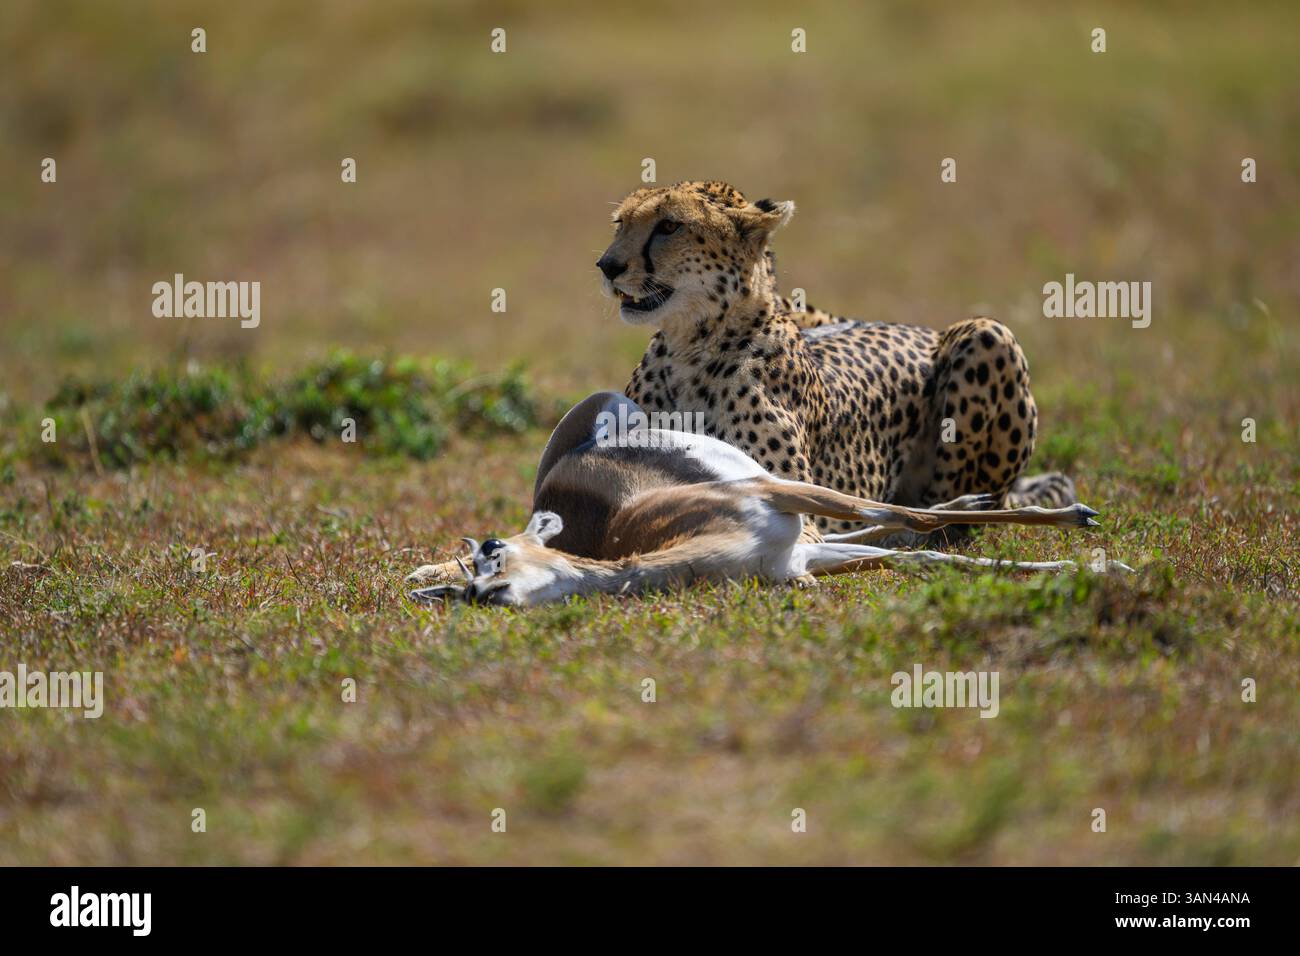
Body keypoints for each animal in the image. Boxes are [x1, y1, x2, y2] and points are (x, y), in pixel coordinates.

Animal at [407, 392, 1126, 607]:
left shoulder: (774, 493)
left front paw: (1085, 528)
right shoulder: (796, 560)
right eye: (467, 589)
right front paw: (1094, 565)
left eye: (494, 553)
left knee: (894, 517)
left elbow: (907, 516)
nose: (486, 595)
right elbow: (922, 557)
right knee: (878, 536)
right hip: (806, 528)